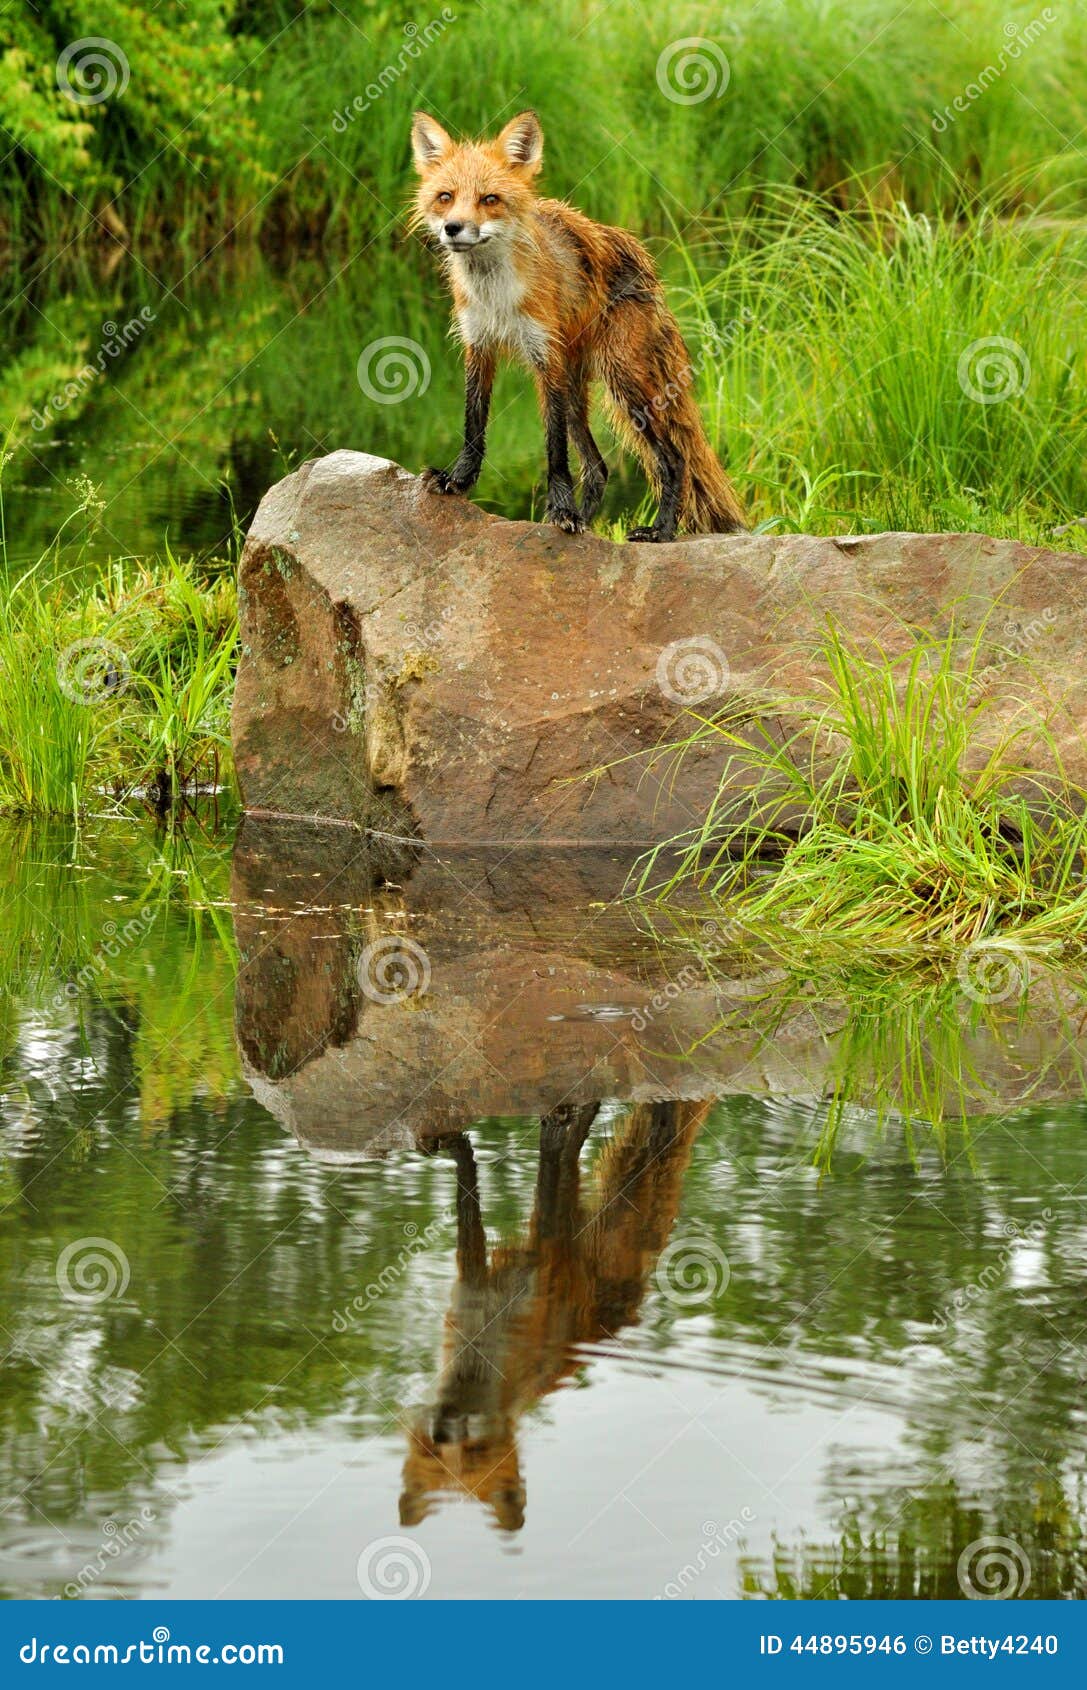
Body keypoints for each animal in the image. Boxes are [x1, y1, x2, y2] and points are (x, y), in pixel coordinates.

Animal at [409, 109, 747, 542]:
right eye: (445, 197)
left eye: (490, 200)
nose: (453, 228)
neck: (497, 296)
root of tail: (648, 269)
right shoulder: (479, 345)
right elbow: (474, 423)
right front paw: (459, 480)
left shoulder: (545, 358)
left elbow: (554, 450)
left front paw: (562, 510)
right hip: (576, 390)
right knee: (599, 468)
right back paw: (588, 522)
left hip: (623, 382)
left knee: (674, 460)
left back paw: (661, 530)